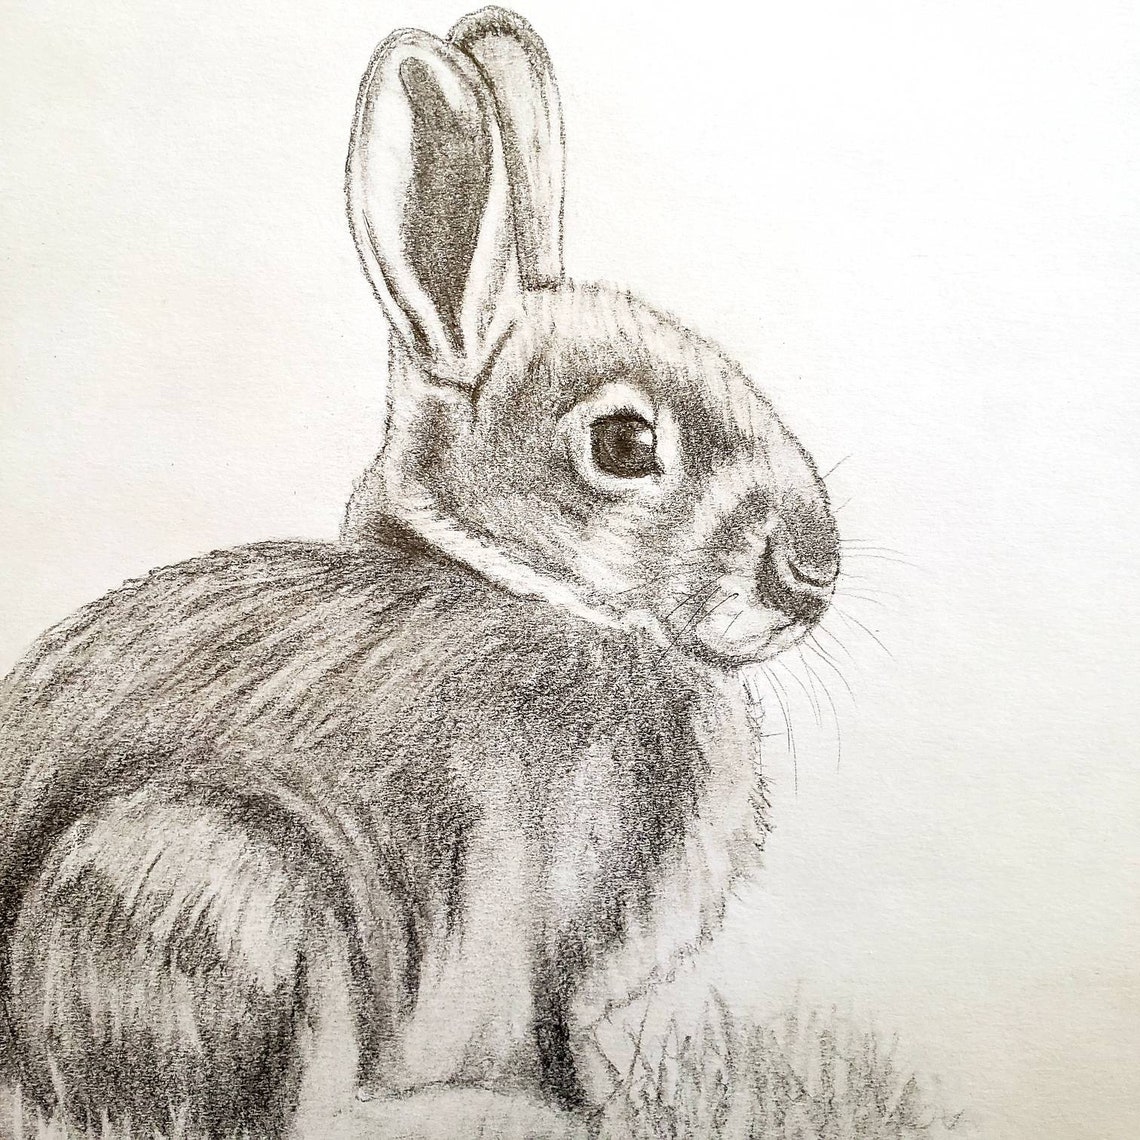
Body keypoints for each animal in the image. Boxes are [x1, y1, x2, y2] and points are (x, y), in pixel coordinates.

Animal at [0, 6, 840, 1139]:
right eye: (624, 443)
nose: (811, 572)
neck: (526, 585)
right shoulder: (511, 920)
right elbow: (530, 1039)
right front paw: (572, 1113)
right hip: (211, 881)